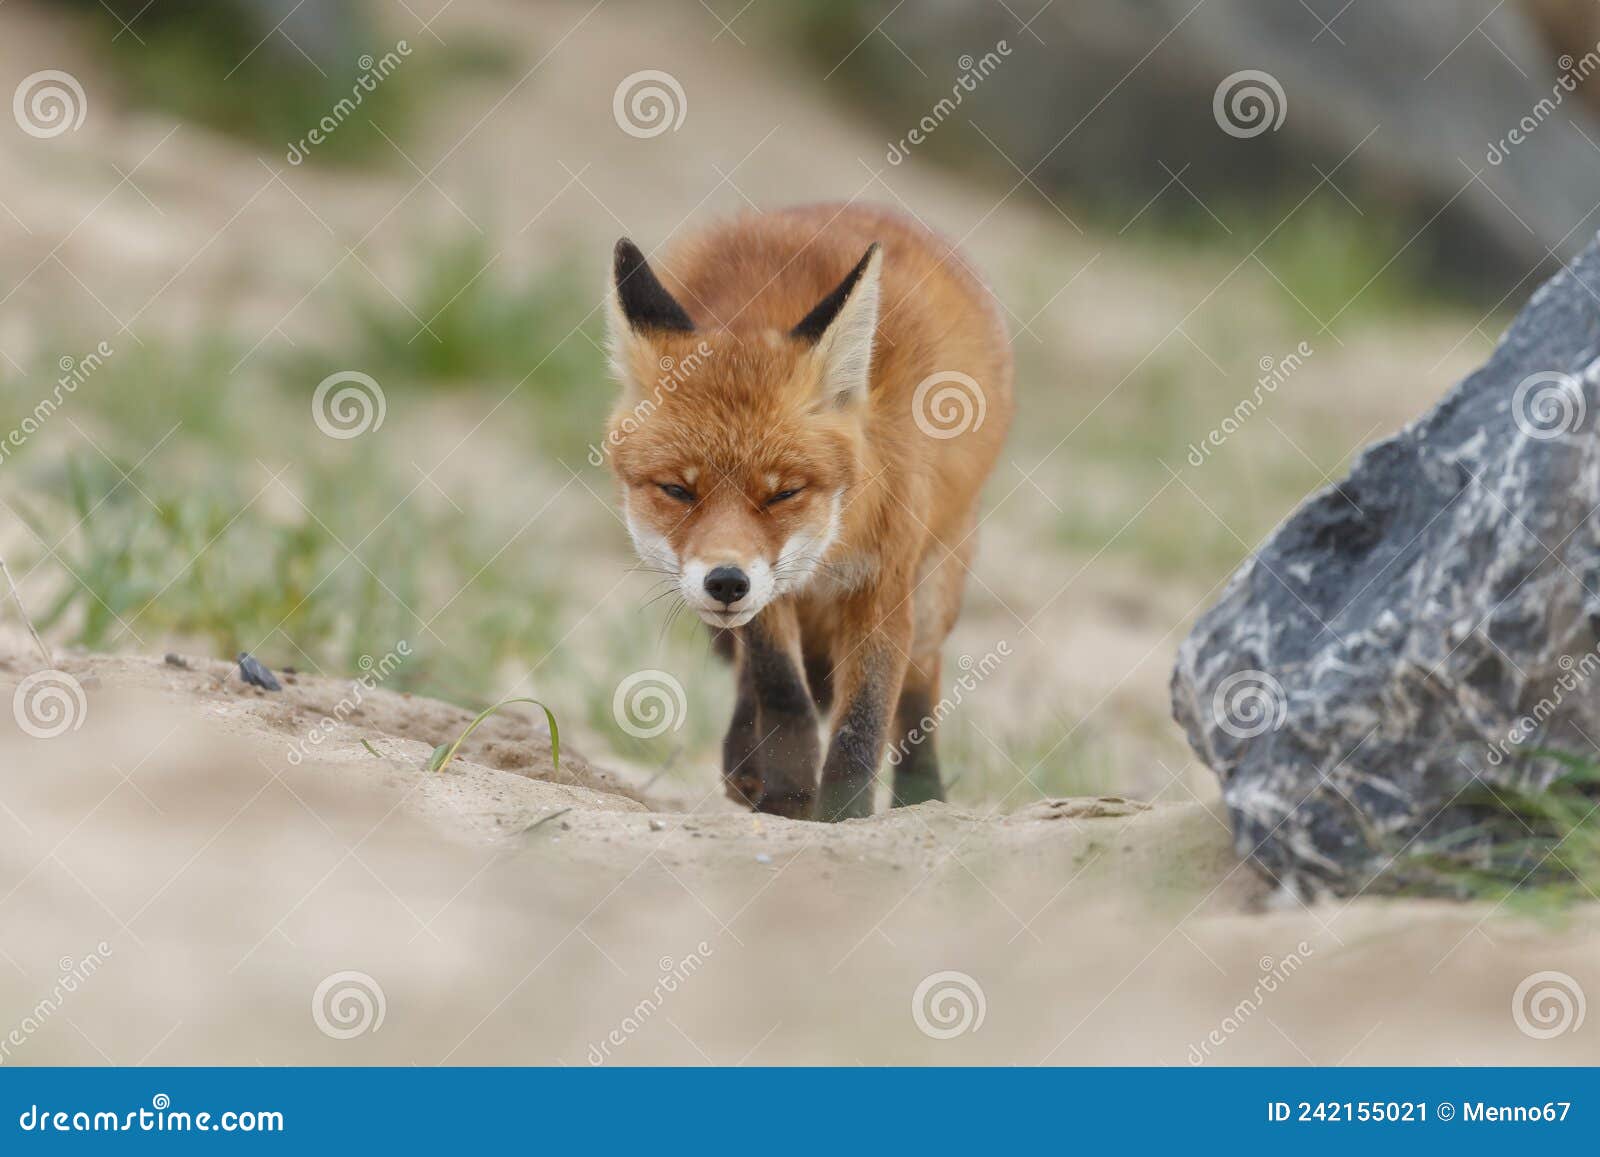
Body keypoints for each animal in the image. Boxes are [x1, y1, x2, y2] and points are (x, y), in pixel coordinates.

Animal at [603, 203, 1013, 821]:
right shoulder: (770, 592)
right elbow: (782, 687)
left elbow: (863, 721)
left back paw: (923, 798)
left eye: (784, 493)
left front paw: (842, 817)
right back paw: (746, 763)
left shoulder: (882, 585)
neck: (830, 545)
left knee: (920, 689)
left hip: (938, 586)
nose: (727, 582)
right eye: (677, 490)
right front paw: (789, 796)